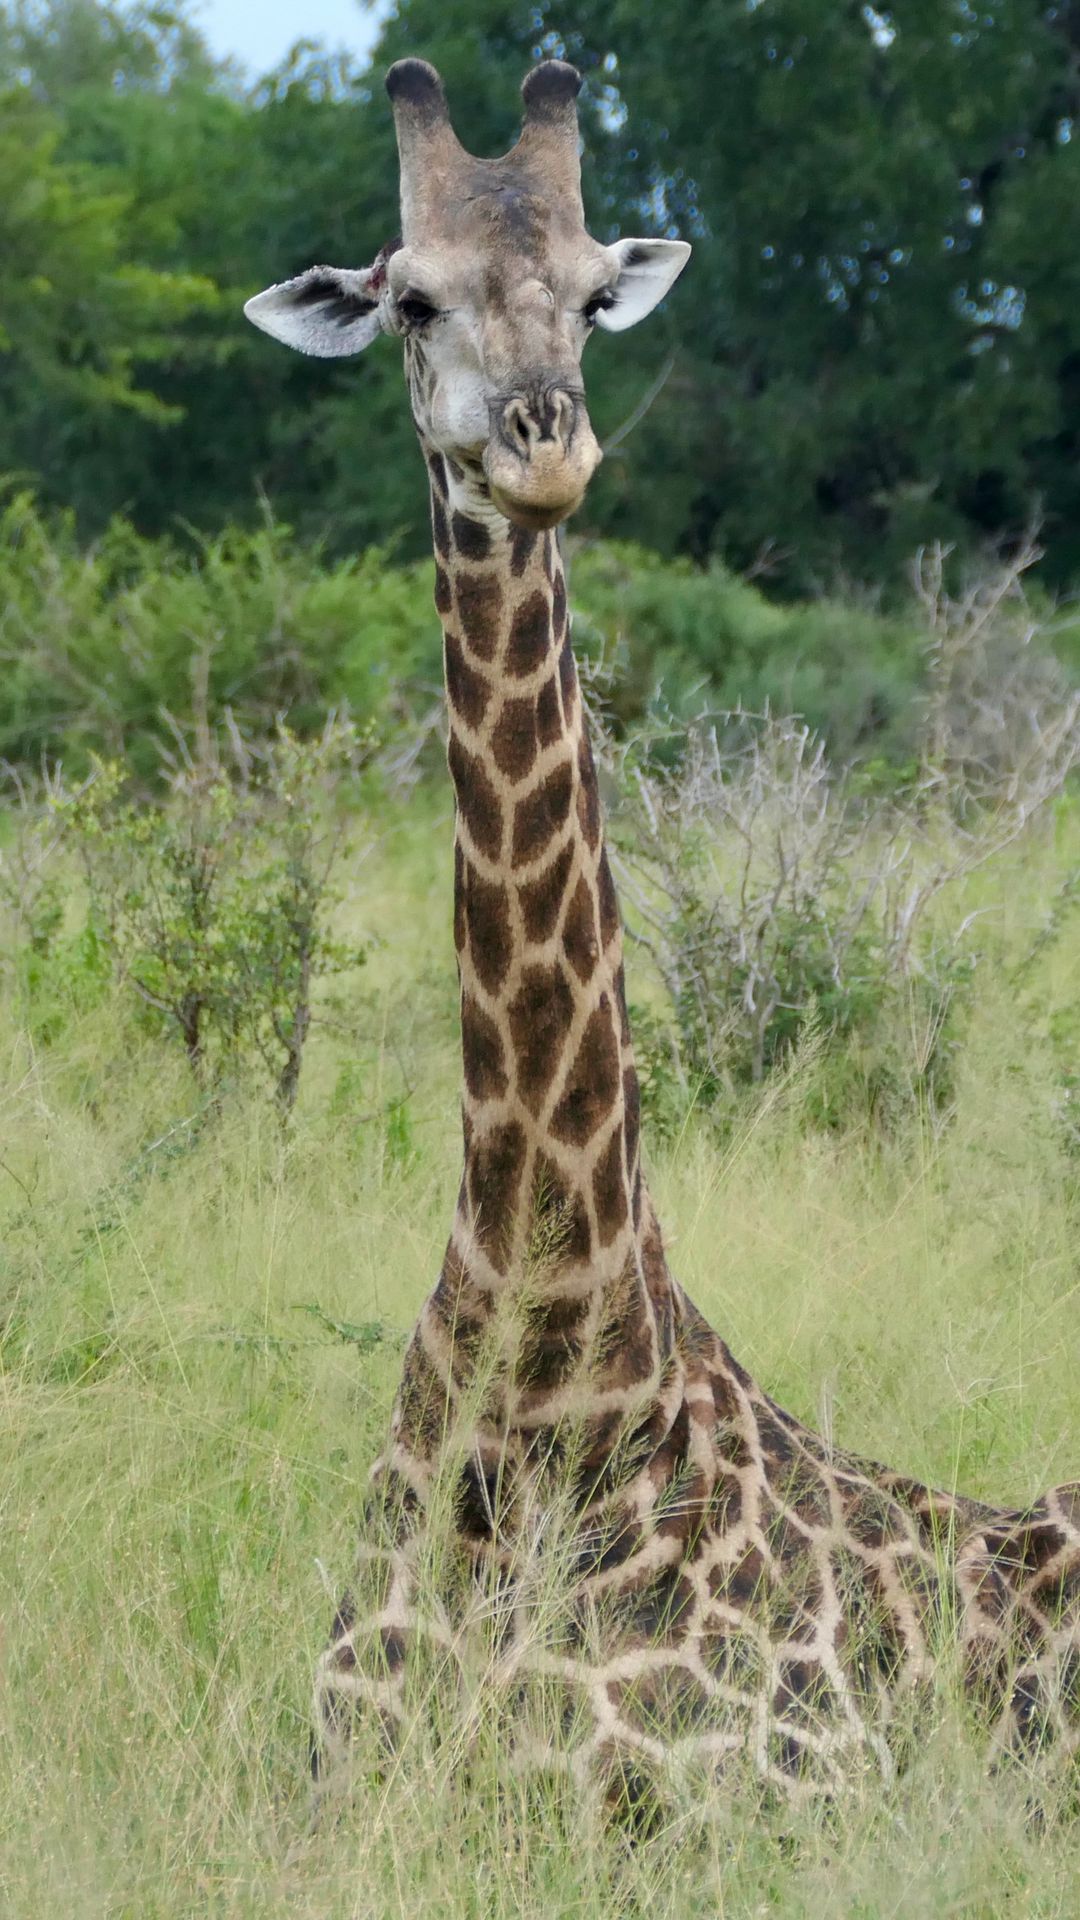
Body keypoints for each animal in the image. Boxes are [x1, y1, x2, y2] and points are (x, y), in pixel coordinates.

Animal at [245, 57, 1080, 1814]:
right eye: (410, 299)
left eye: (587, 298)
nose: (547, 446)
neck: (552, 1340)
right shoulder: (331, 1774)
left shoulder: (778, 1801)